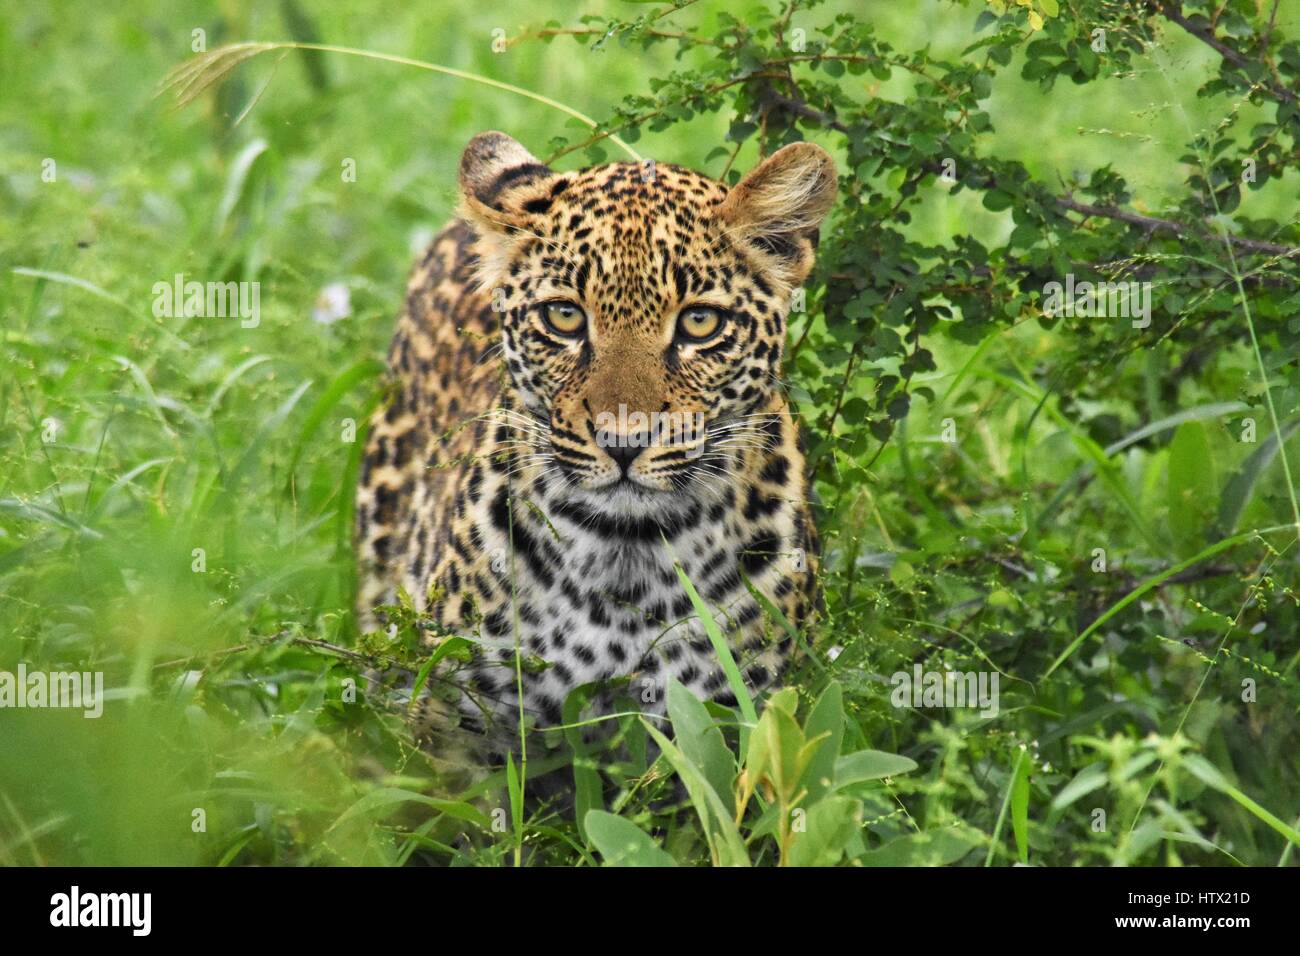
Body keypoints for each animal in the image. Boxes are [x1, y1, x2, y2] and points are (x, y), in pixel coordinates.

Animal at [354, 131, 838, 775]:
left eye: (700, 322)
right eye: (564, 316)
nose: (623, 440)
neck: (625, 559)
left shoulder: (731, 728)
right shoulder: (453, 735)